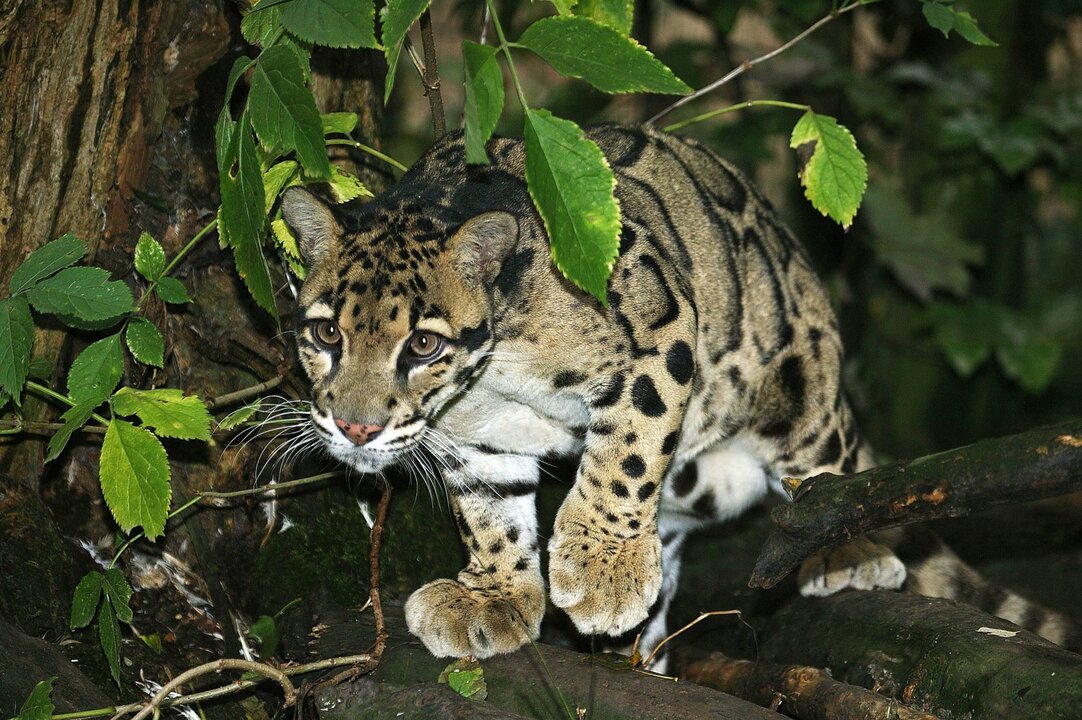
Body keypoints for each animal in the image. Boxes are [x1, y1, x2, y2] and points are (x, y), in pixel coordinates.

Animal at [282, 124, 1076, 667]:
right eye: (324, 333)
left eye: (422, 345)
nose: (353, 428)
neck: (492, 369)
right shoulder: (479, 433)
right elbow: (489, 510)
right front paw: (496, 596)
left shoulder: (658, 327)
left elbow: (627, 451)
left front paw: (600, 570)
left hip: (799, 392)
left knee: (837, 477)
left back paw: (843, 552)